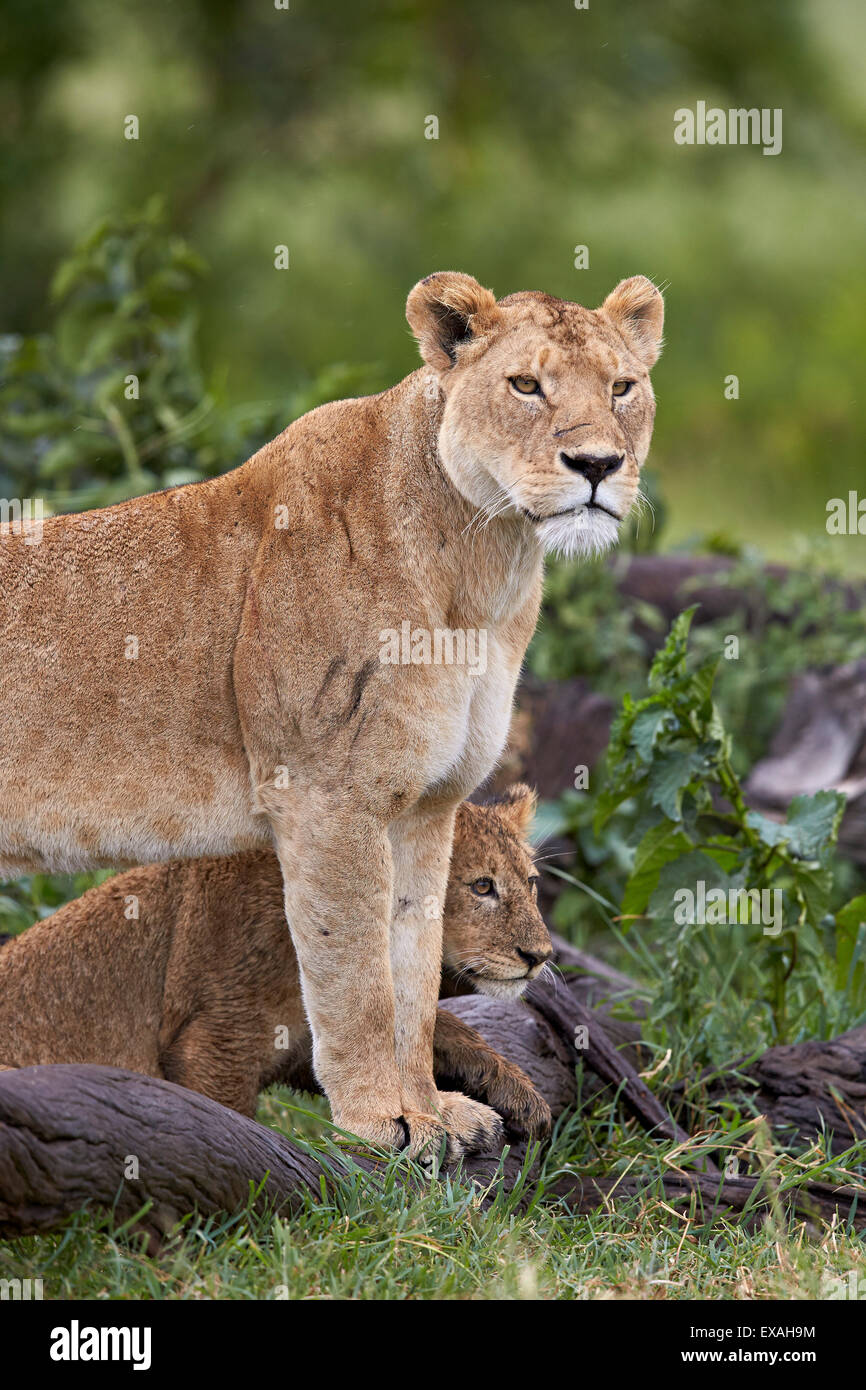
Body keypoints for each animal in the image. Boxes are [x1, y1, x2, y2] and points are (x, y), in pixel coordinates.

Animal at [0, 788, 552, 1139]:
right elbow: (229, 1120)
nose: (541, 957)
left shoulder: (305, 1041)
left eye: (530, 883)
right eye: (482, 886)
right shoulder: (214, 1043)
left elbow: (427, 1030)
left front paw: (513, 1095)